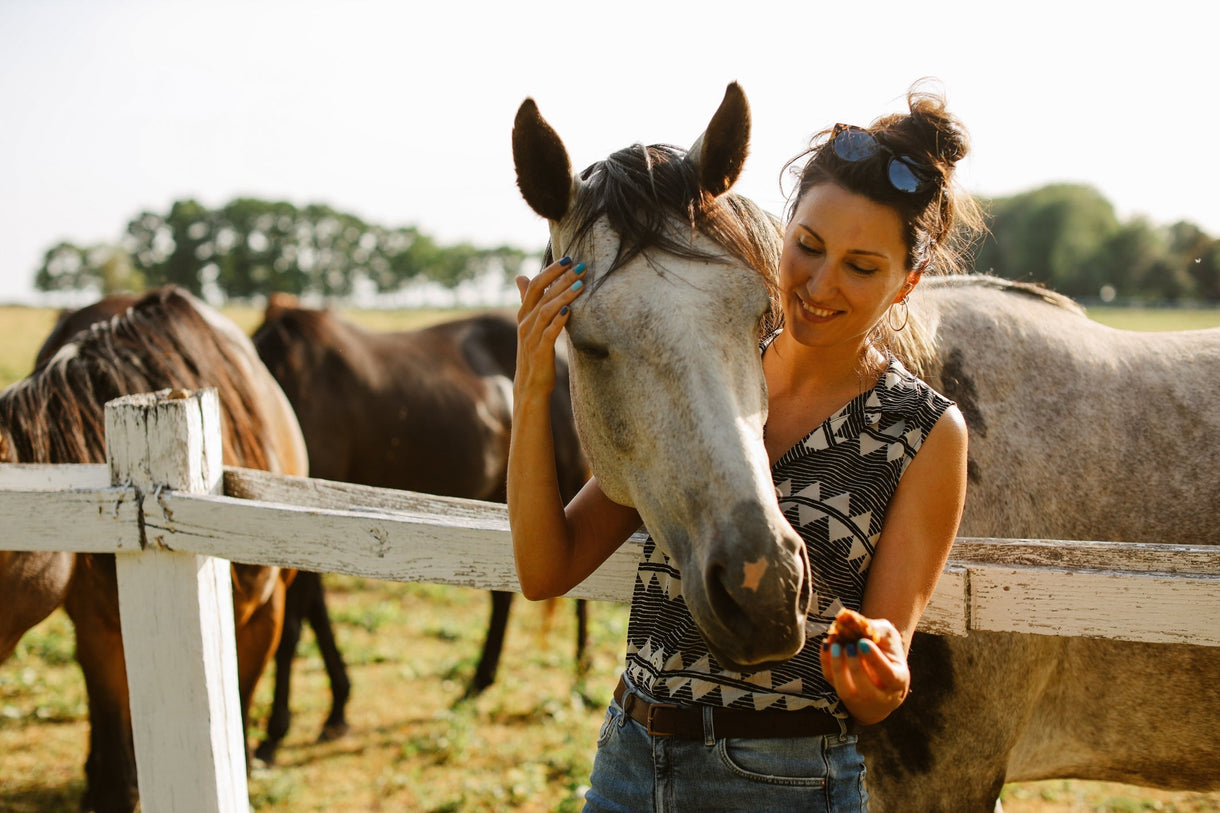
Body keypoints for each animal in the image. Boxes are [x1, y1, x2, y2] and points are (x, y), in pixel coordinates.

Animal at [250, 295, 590, 764]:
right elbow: (316, 618)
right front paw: (337, 708)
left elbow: (292, 630)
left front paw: (274, 734)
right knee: (504, 598)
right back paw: (479, 681)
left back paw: (580, 675)